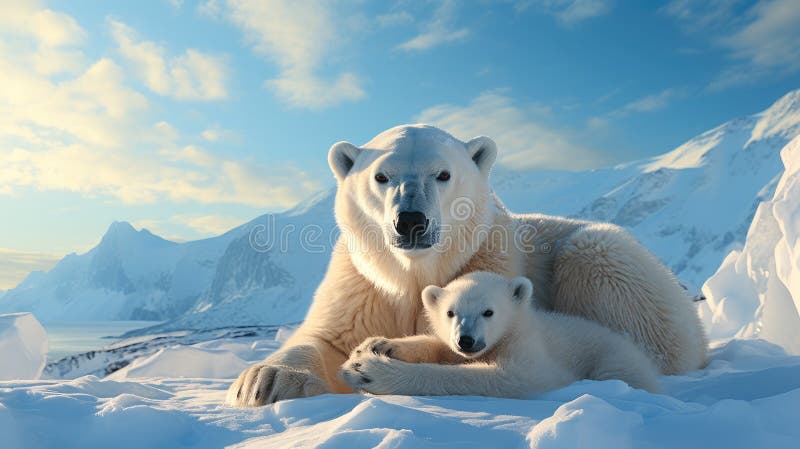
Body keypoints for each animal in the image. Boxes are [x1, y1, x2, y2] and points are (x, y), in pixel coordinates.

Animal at [340, 271, 661, 397]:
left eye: (488, 312)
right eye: (451, 312)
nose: (466, 340)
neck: (517, 325)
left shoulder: (530, 349)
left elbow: (510, 377)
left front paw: (368, 371)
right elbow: (440, 347)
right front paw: (376, 346)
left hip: (615, 359)